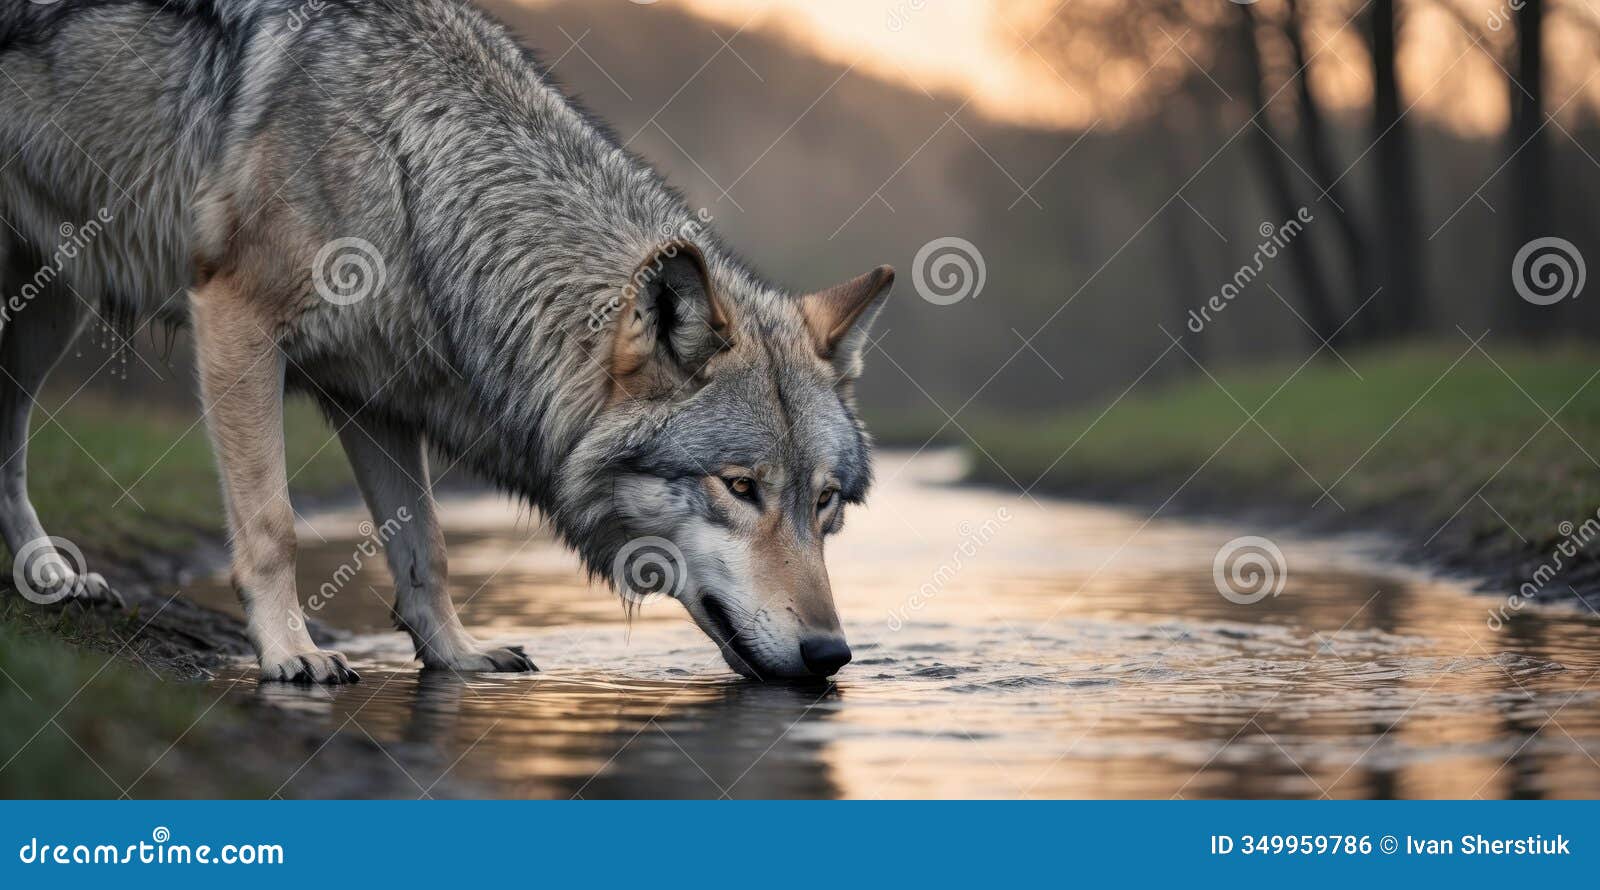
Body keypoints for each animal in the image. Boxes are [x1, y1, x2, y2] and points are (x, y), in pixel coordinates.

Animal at [0, 0, 893, 682]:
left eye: (824, 503)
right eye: (739, 488)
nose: (831, 653)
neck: (409, 165)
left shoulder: (372, 393)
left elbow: (424, 543)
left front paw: (457, 655)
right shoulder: (236, 319)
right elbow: (273, 523)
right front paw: (290, 652)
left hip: (49, 308)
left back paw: (45, 575)